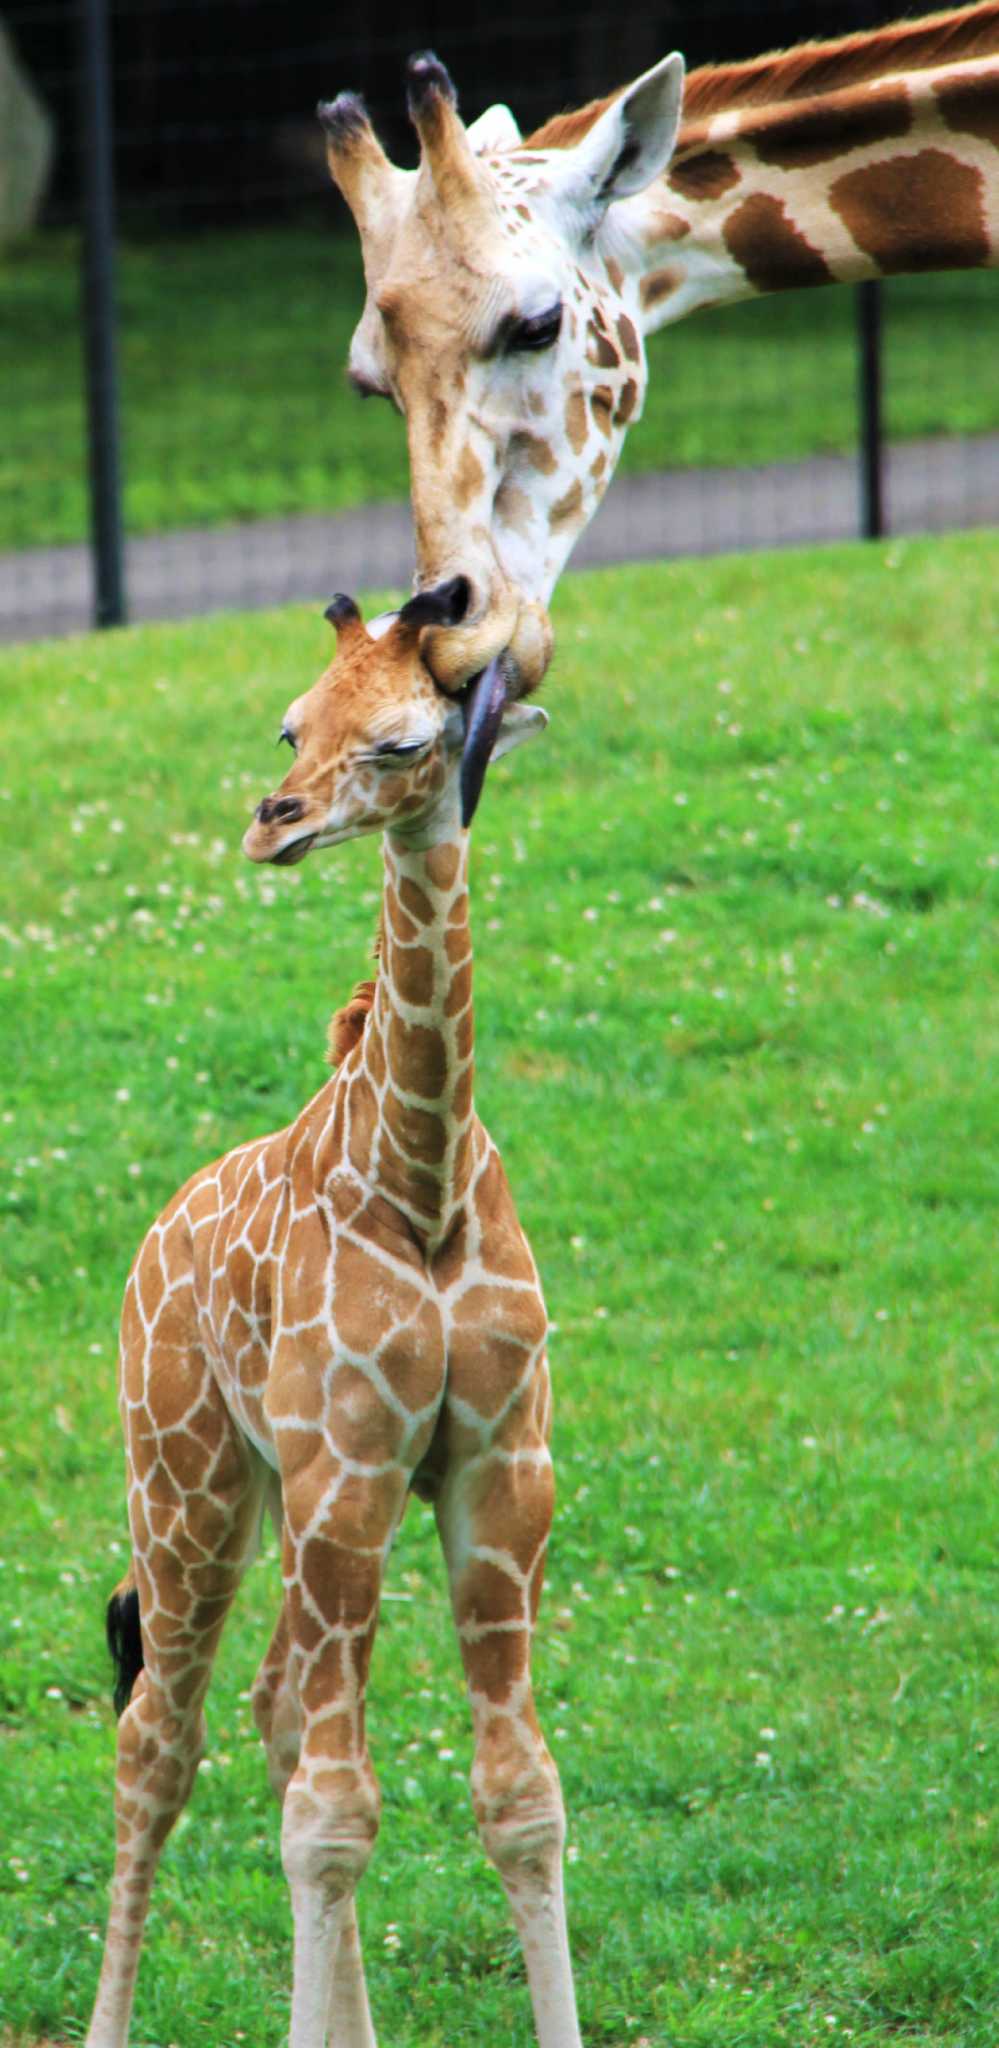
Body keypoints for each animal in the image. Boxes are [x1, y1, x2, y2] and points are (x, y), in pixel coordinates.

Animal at [84, 582, 581, 2048]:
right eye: (292, 722)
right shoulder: (350, 1473)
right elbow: (331, 1814)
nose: (274, 818)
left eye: (405, 741)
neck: (420, 1181)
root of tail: (151, 1241)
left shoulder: (498, 1472)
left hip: (270, 1499)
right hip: (187, 1481)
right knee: (159, 1742)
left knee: (271, 1707)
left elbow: (519, 1797)